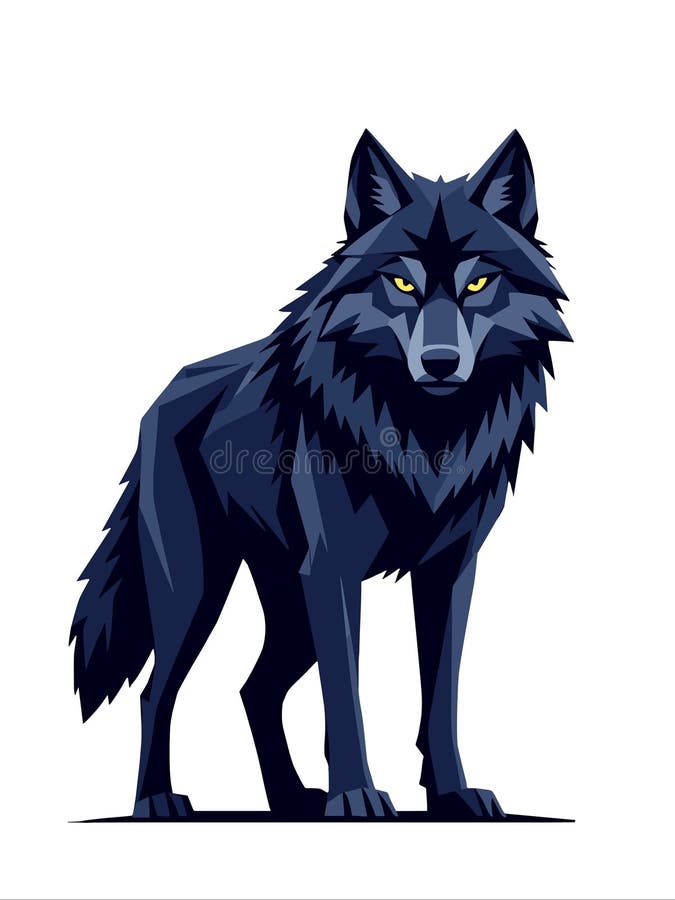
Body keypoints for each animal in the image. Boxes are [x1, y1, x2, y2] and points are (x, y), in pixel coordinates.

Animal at [71, 130, 571, 819]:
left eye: (478, 283)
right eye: (401, 282)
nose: (441, 363)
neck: (423, 434)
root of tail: (161, 398)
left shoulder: (450, 572)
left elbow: (440, 696)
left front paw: (452, 793)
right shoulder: (333, 572)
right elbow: (347, 694)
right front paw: (356, 794)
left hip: (288, 608)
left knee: (254, 689)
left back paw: (288, 796)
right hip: (198, 594)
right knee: (156, 692)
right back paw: (158, 799)